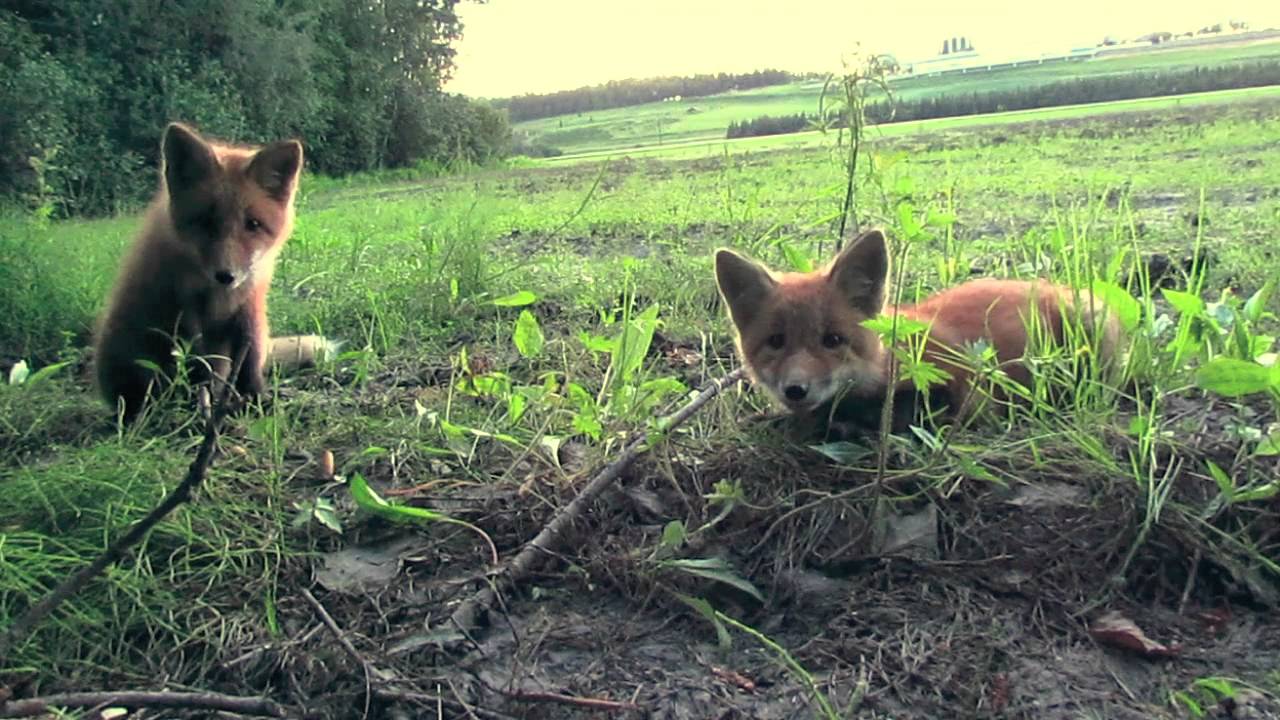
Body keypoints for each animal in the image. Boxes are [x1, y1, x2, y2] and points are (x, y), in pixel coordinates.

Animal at [94, 122, 339, 422]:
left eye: (253, 224)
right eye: (205, 221)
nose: (226, 276)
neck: (218, 296)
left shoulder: (251, 304)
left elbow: (250, 362)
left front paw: (257, 402)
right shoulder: (184, 310)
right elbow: (198, 368)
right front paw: (203, 409)